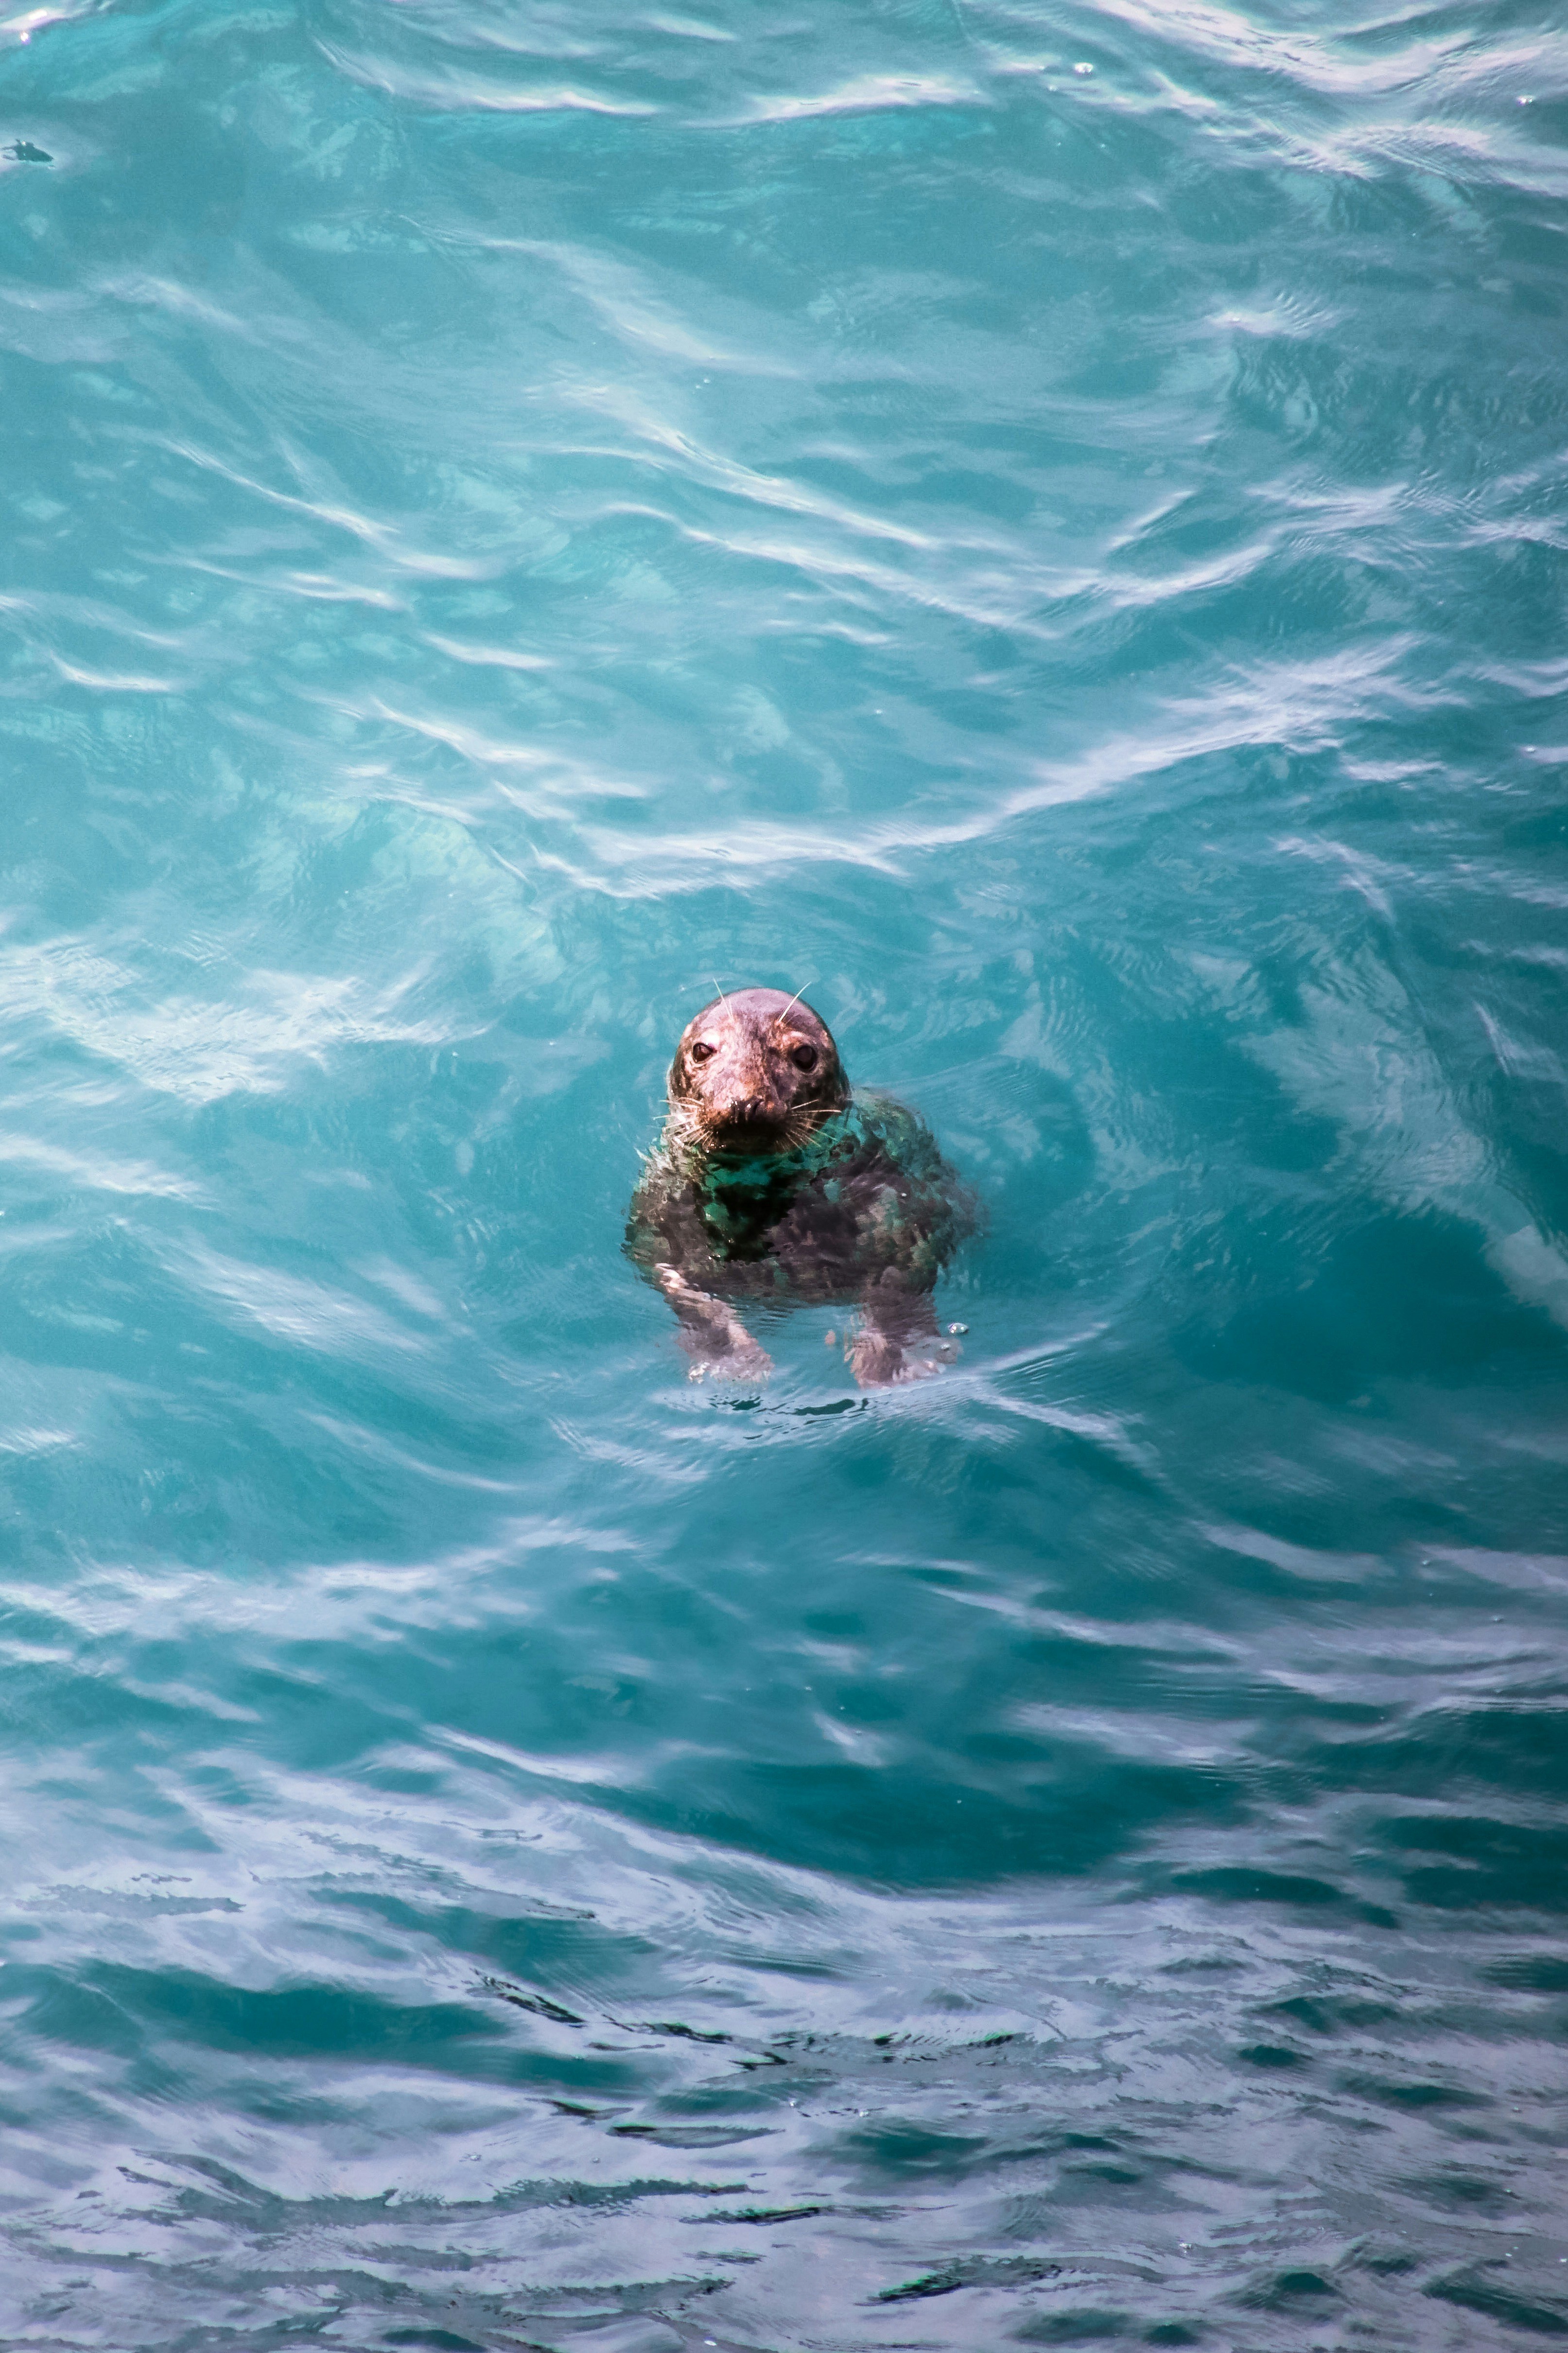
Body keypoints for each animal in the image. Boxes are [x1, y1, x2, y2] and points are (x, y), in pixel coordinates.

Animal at [625, 987, 976, 1388]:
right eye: (702, 1050)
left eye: (805, 1055)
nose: (745, 1100)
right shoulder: (653, 1231)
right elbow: (692, 1302)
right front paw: (733, 1363)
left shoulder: (900, 1215)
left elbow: (897, 1290)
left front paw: (902, 1359)